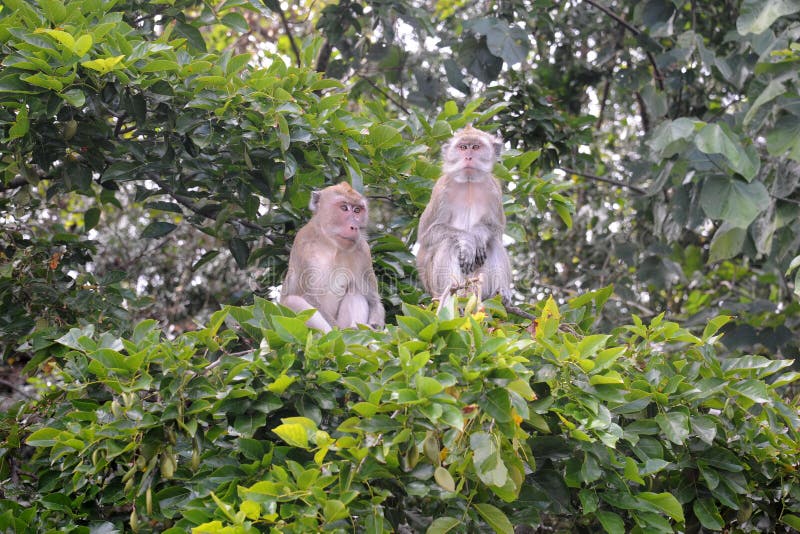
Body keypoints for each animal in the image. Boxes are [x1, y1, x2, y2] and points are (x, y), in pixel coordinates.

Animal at [281, 182, 385, 332]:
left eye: (357, 210)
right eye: (344, 208)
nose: (354, 227)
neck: (331, 244)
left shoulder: (362, 251)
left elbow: (373, 300)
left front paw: (375, 326)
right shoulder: (303, 245)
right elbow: (308, 296)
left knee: (355, 290)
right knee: (293, 301)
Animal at [416, 125, 512, 301]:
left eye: (475, 147)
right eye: (462, 147)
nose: (468, 157)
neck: (469, 184)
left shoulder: (494, 191)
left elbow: (496, 230)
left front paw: (478, 233)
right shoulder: (441, 191)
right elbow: (426, 234)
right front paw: (467, 240)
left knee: (493, 242)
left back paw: (501, 294)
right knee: (448, 242)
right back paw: (451, 295)